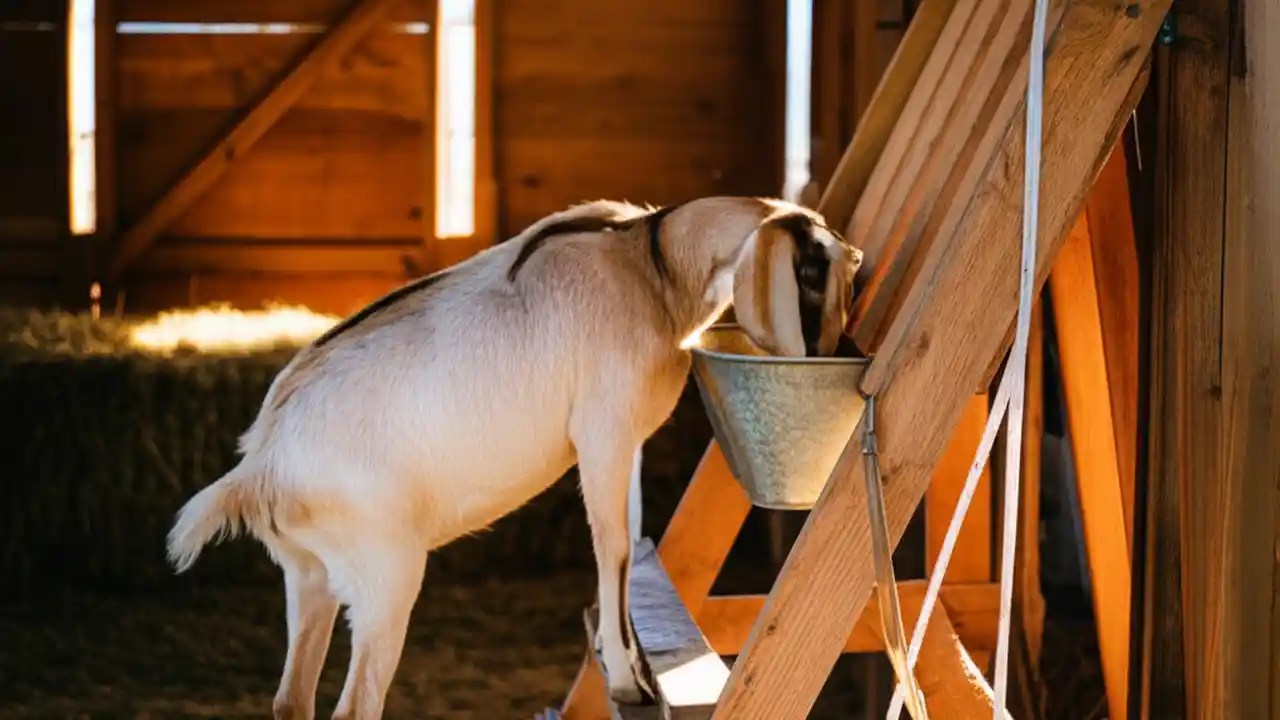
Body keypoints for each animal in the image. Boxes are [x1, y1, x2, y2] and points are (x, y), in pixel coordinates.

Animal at [166, 196, 863, 719]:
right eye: (813, 270)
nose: (837, 353)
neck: (652, 266)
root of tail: (264, 462)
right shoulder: (604, 431)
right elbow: (611, 547)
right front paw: (627, 682)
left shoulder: (625, 441)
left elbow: (625, 540)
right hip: (386, 576)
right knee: (354, 707)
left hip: (306, 575)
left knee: (291, 701)